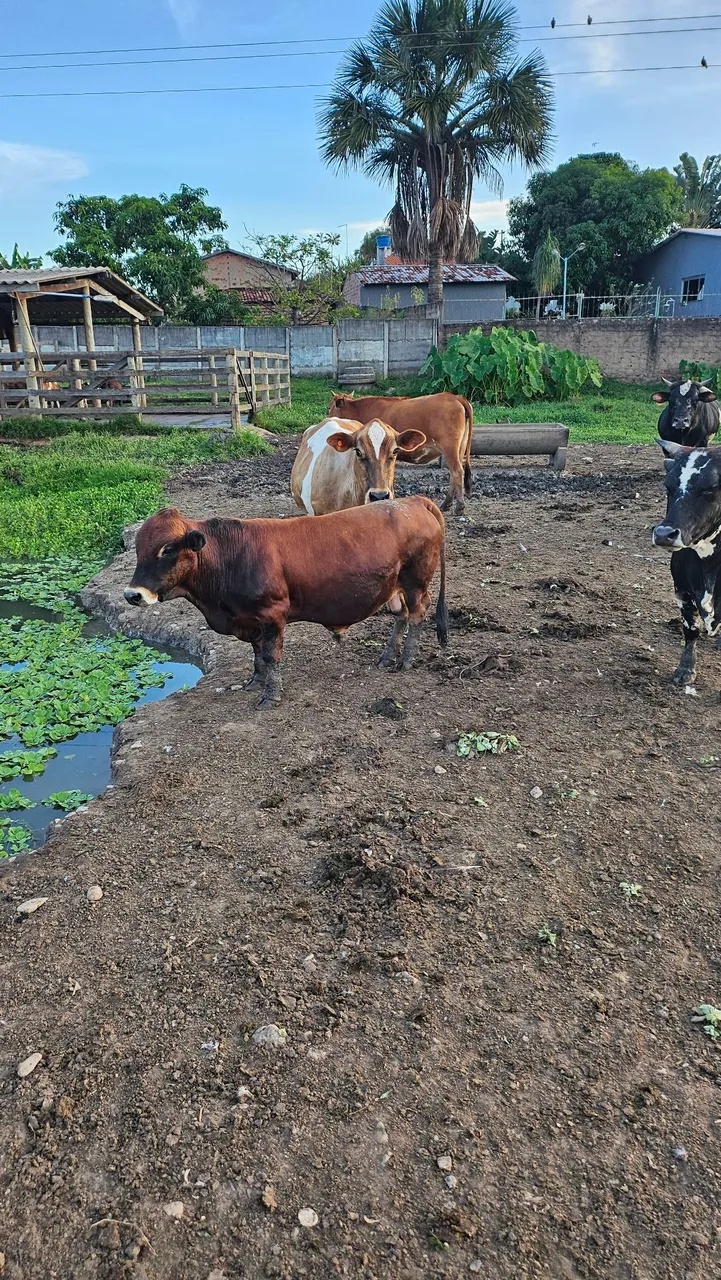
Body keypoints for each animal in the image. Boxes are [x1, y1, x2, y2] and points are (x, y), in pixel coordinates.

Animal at [123, 497, 448, 709]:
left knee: (418, 613)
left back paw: (405, 660)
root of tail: (413, 501)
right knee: (401, 615)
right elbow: (256, 655)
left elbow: (271, 657)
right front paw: (255, 681)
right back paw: (386, 657)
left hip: (416, 581)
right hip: (394, 587)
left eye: (167, 549)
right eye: (137, 548)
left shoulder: (273, 614)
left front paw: (270, 696)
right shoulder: (251, 620)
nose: (132, 595)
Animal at [327, 391, 474, 515]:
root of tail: (455, 397)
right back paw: (446, 503)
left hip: (450, 448)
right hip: (460, 449)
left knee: (457, 471)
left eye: (329, 408)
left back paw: (459, 506)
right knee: (453, 474)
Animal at [652, 438, 721, 686]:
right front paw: (685, 668)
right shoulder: (682, 589)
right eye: (668, 487)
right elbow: (690, 629)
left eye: (709, 488)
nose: (664, 534)